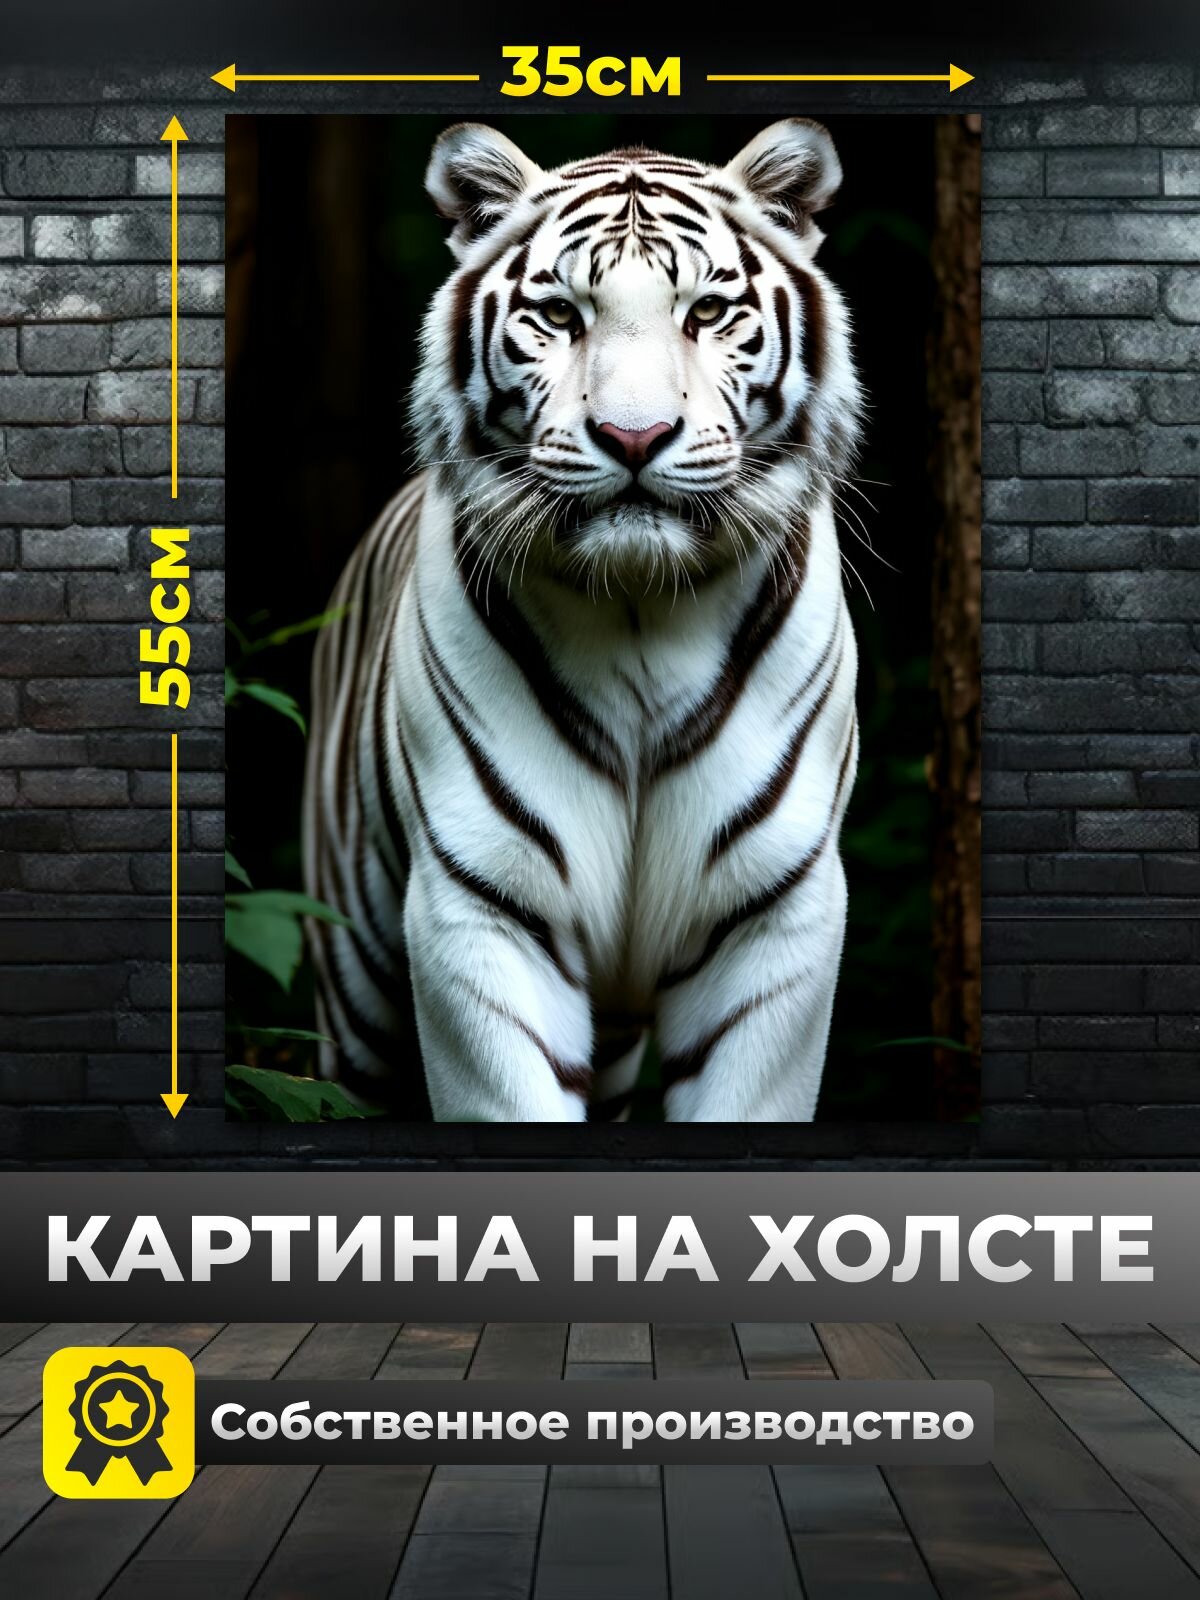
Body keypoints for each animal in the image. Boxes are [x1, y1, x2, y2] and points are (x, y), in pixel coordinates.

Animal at [302, 118, 865, 1123]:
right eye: (561, 316)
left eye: (707, 313)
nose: (634, 437)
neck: (641, 614)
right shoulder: (482, 905)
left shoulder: (774, 913)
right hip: (354, 983)